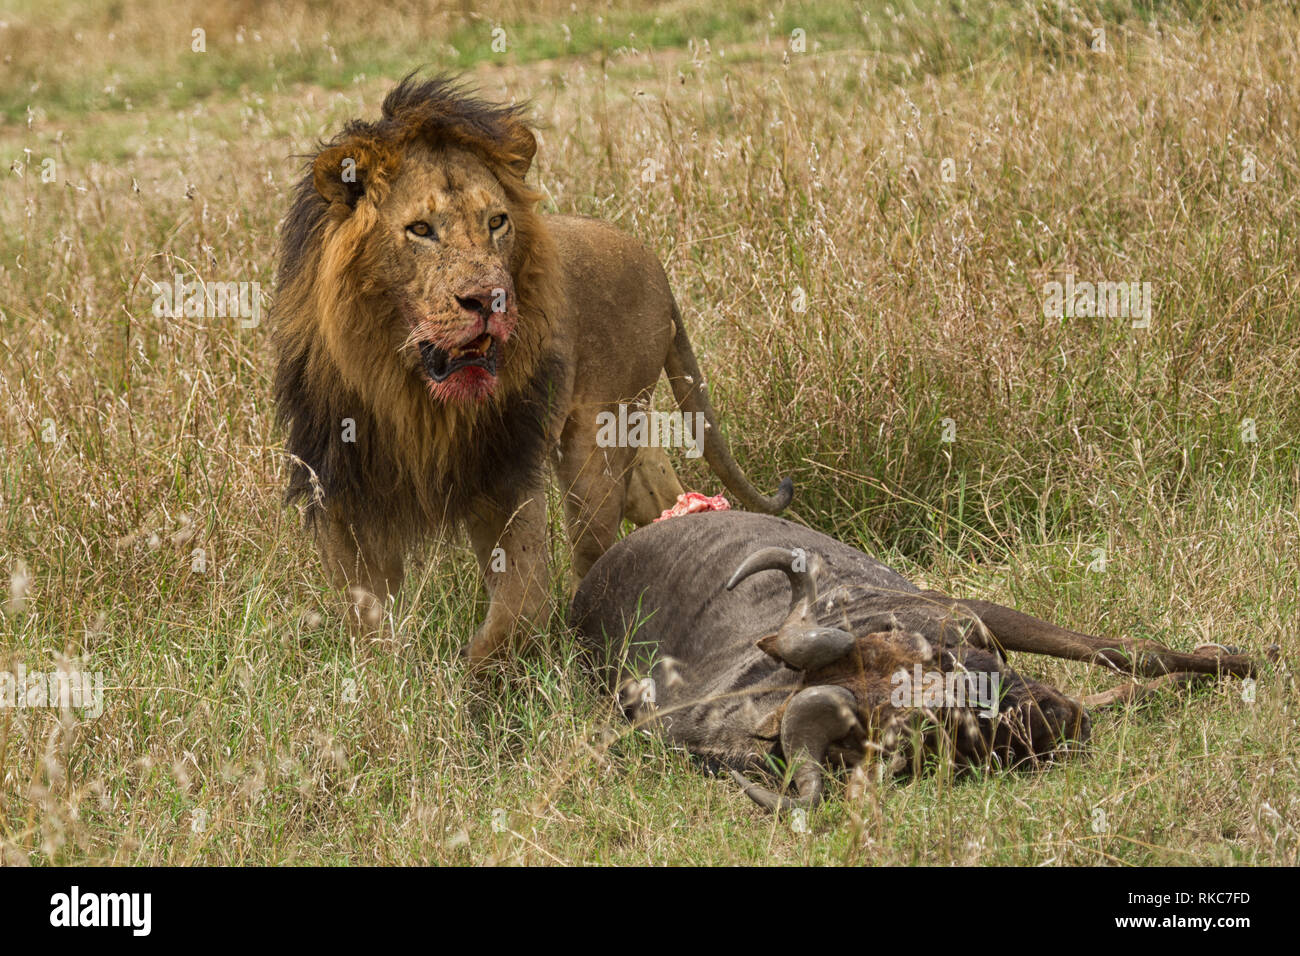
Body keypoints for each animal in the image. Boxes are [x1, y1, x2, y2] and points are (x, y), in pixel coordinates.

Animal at [271, 75, 791, 667]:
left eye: (496, 222)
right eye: (420, 229)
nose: (488, 300)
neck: (411, 393)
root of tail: (652, 260)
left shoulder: (504, 473)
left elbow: (519, 604)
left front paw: (481, 674)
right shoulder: (340, 486)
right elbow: (368, 617)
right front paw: (386, 673)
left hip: (598, 445)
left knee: (595, 553)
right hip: (632, 437)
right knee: (661, 496)